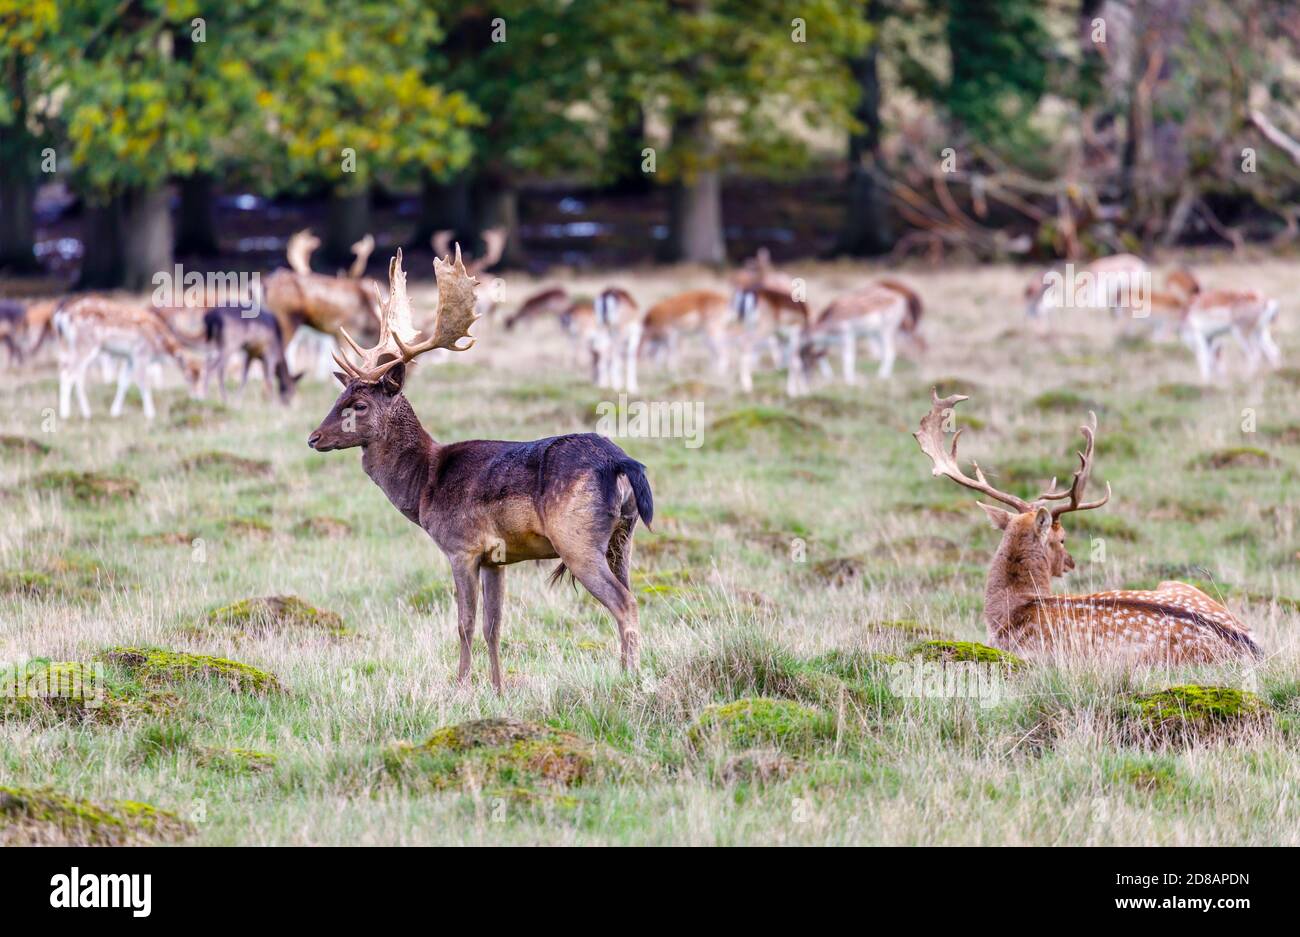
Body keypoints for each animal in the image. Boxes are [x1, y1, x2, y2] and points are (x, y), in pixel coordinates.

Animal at [53, 297, 204, 420]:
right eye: (188, 377)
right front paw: (150, 413)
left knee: (76, 375)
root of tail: (62, 316)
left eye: (201, 377)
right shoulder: (141, 354)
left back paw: (86, 412)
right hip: (86, 344)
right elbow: (143, 382)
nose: (197, 397)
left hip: (72, 345)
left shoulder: (129, 357)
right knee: (68, 373)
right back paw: (66, 414)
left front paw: (115, 412)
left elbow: (123, 382)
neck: (158, 347)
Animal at [307, 248, 654, 691]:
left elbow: (464, 623)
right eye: (339, 397)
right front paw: (499, 688)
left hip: (577, 538)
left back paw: (629, 679)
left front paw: (460, 685)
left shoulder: (461, 547)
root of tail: (621, 462)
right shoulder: (496, 558)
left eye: (360, 404)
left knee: (624, 603)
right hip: (623, 537)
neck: (425, 484)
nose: (314, 437)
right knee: (630, 593)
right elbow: (494, 626)